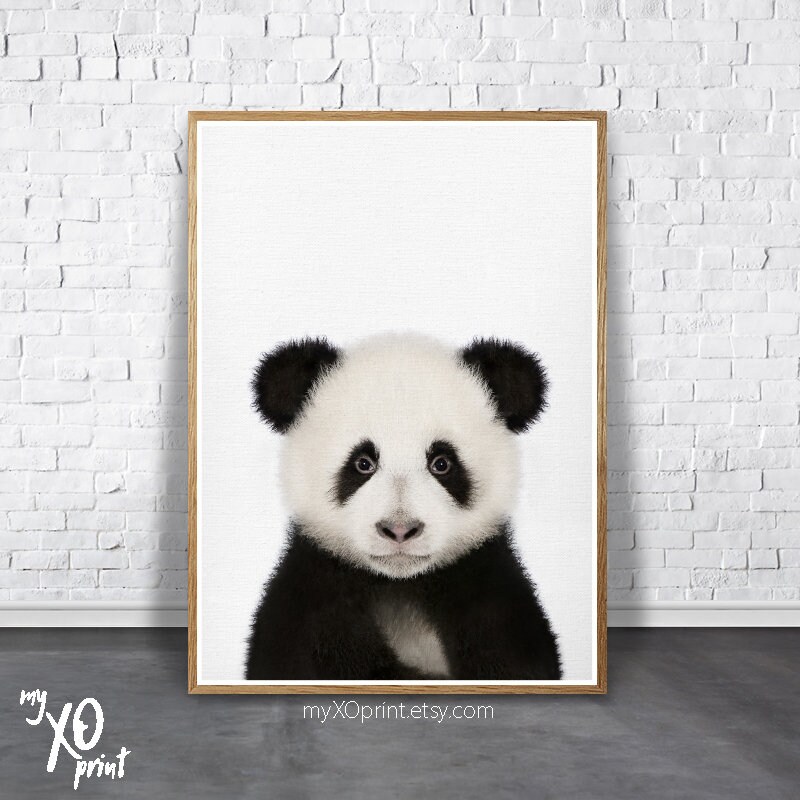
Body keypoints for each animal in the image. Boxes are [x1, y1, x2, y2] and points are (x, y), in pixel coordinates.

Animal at [245, 333, 561, 681]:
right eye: (363, 463)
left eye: (441, 463)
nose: (399, 529)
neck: (400, 584)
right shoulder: (312, 594)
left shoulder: (487, 589)